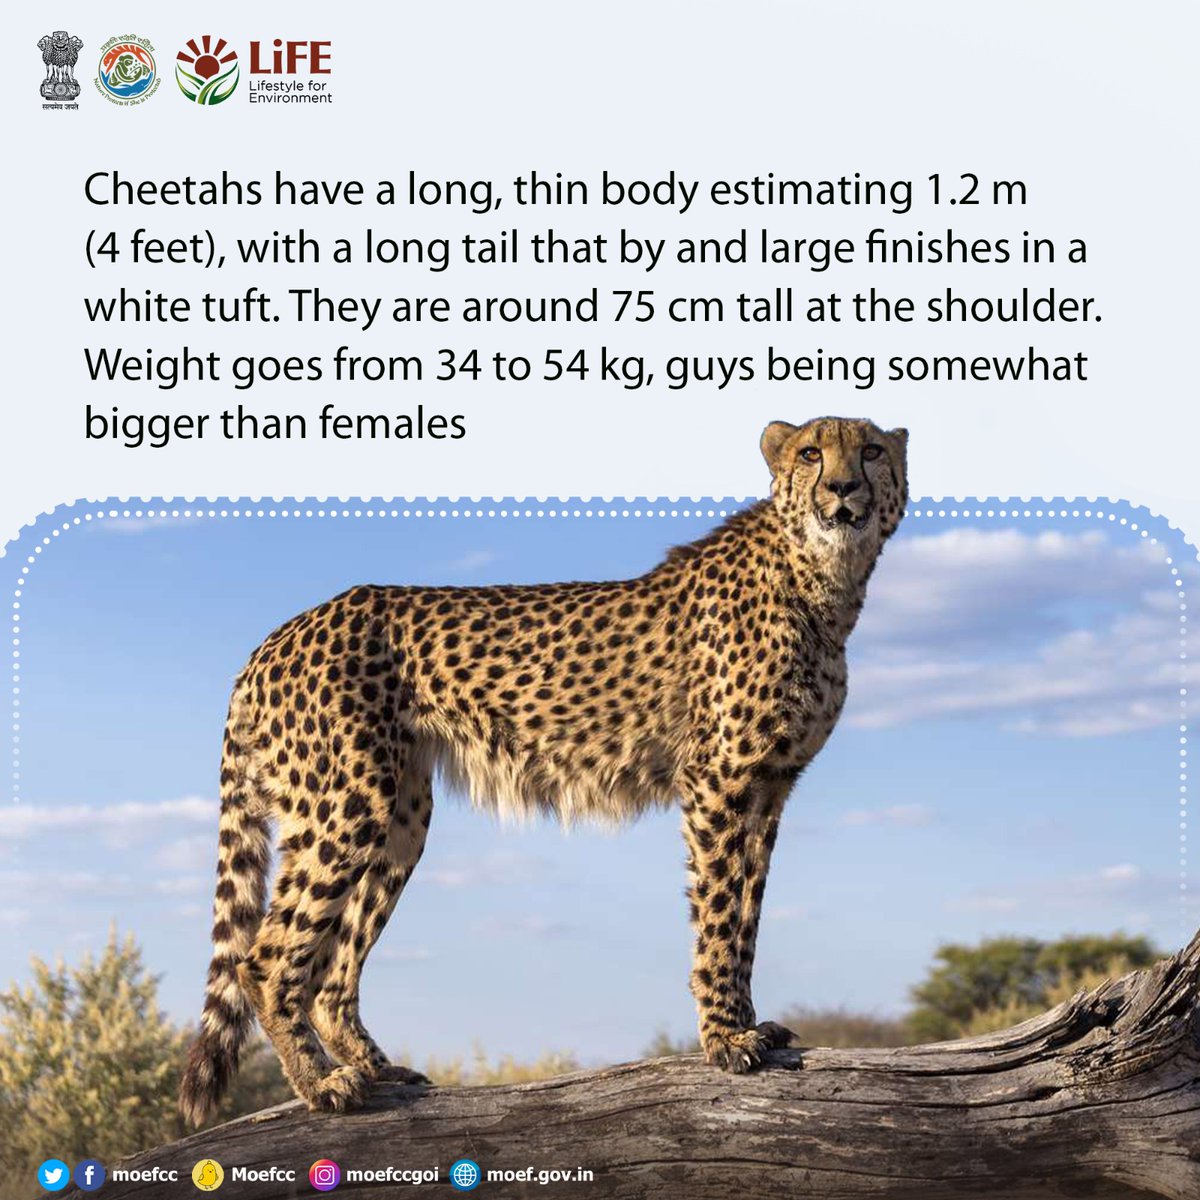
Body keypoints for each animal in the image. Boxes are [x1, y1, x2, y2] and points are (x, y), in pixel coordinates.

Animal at [179, 414, 908, 1124]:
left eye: (871, 451)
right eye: (811, 453)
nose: (843, 487)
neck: (821, 579)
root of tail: (275, 638)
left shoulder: (769, 787)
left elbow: (747, 915)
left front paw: (749, 1024)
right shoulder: (719, 782)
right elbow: (719, 915)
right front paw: (727, 1038)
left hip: (402, 815)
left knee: (332, 969)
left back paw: (375, 1068)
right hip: (350, 800)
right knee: (264, 955)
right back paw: (322, 1084)